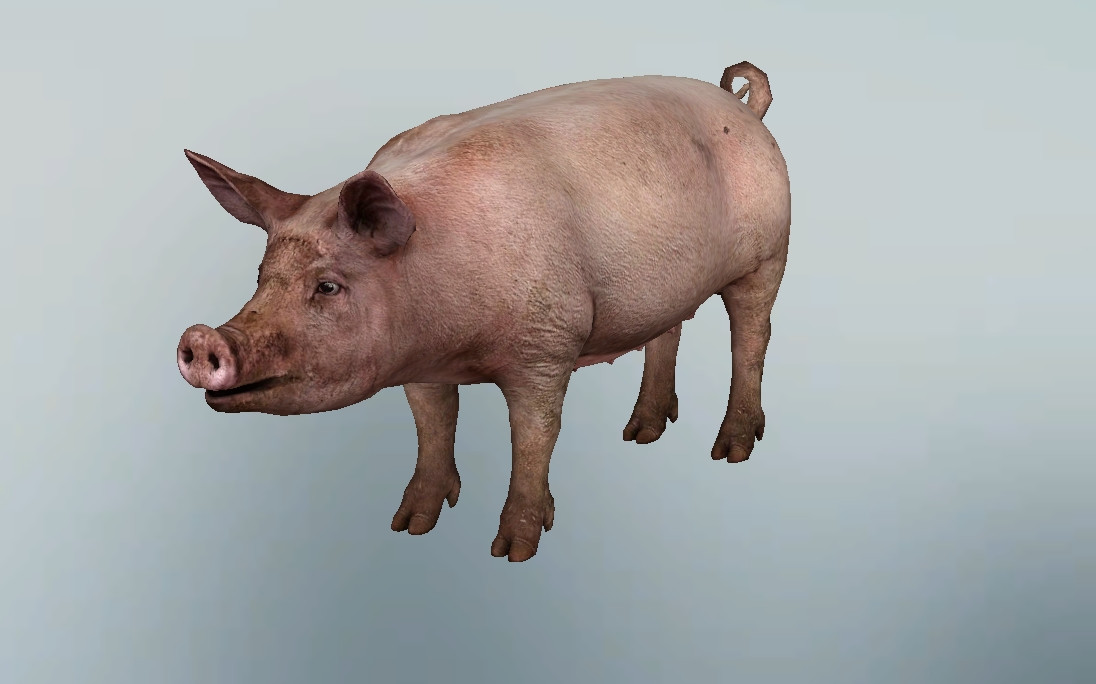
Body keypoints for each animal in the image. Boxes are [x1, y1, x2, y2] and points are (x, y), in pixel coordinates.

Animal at [177, 61, 791, 562]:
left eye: (328, 286)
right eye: (262, 278)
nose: (203, 338)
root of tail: (741, 106)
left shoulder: (548, 341)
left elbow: (534, 436)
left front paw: (513, 550)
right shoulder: (417, 367)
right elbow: (433, 425)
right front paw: (409, 527)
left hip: (769, 252)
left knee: (752, 338)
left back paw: (731, 451)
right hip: (666, 284)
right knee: (669, 331)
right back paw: (640, 435)